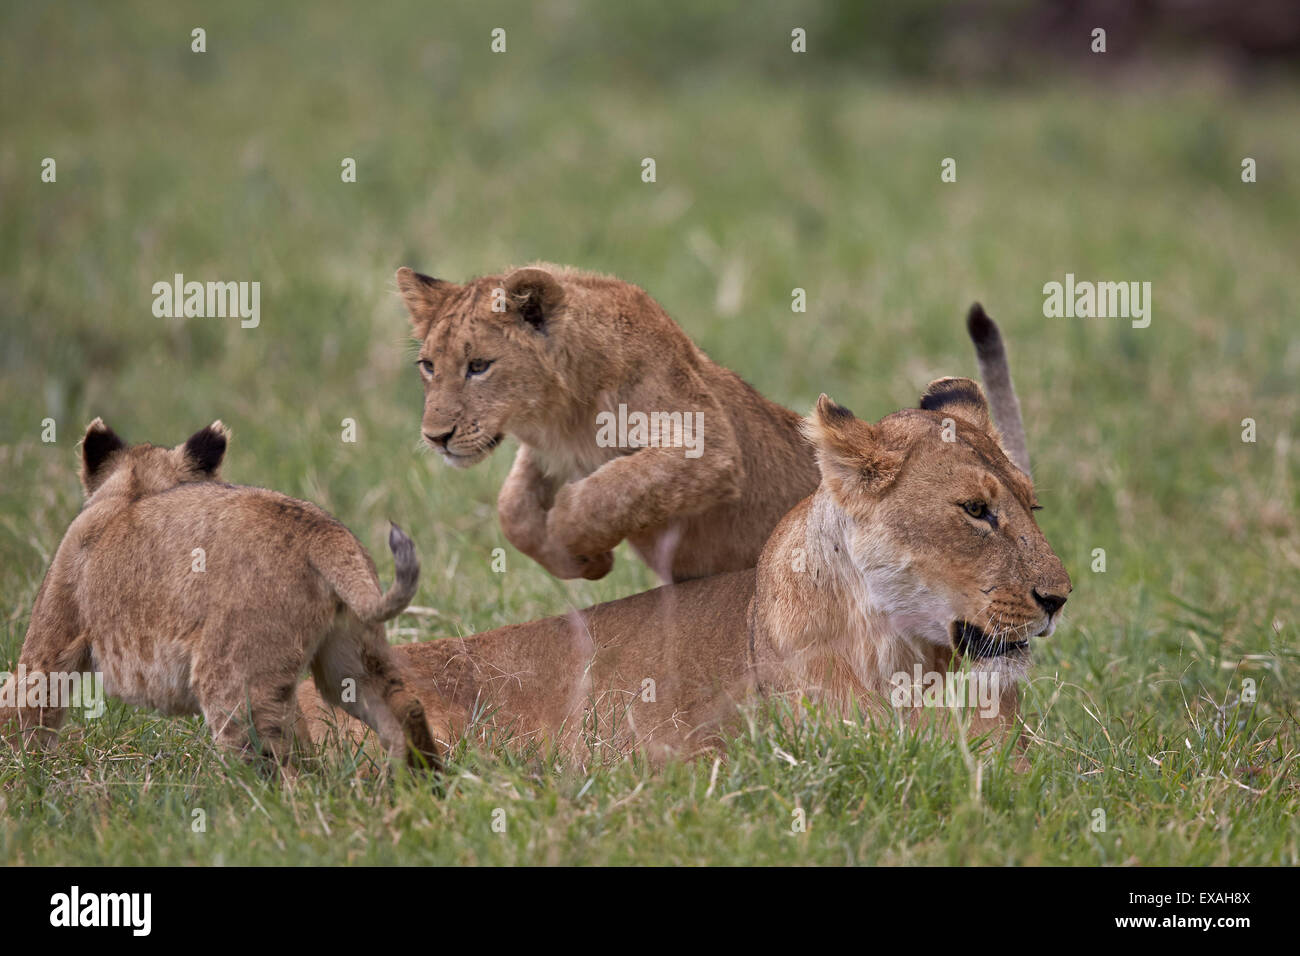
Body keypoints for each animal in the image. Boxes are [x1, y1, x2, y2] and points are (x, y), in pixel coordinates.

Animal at [1, 420, 439, 773]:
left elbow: (21, 708)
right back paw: (417, 788)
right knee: (404, 707)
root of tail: (319, 530)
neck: (135, 489)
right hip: (349, 658)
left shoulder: (51, 638)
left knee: (279, 762)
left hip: (231, 677)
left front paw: (20, 779)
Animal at [396, 263, 820, 583]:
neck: (560, 416)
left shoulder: (711, 448)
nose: (435, 437)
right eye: (429, 365)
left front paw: (570, 539)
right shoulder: (546, 452)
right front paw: (576, 561)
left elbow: (611, 489)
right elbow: (511, 508)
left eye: (479, 366)